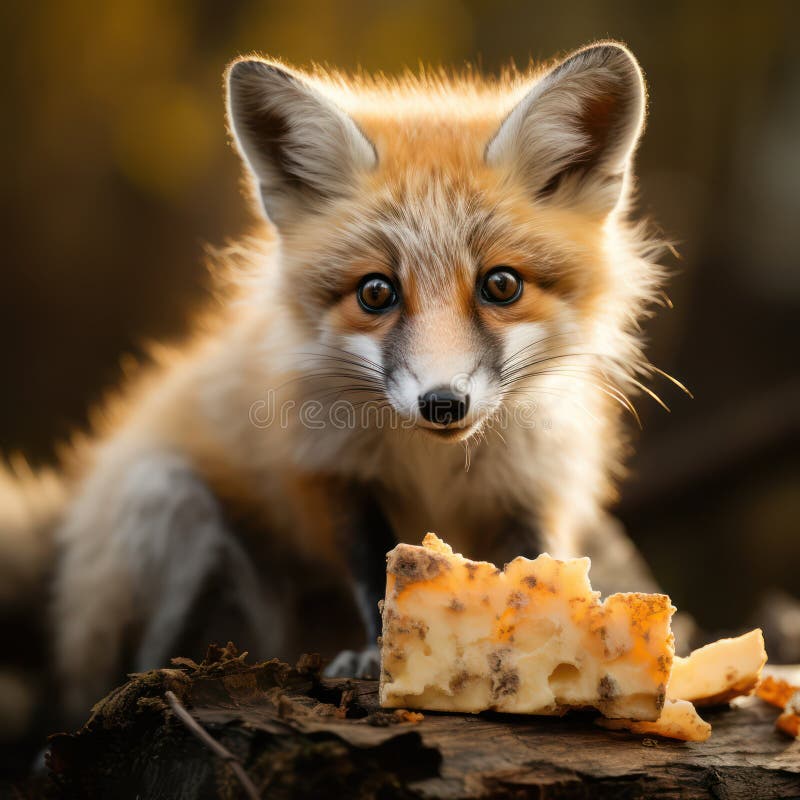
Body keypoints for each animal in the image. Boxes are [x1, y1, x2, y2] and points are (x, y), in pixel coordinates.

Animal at [0, 41, 671, 733]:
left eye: (501, 285)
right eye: (375, 292)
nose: (442, 403)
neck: (434, 465)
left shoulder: (535, 488)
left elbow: (534, 571)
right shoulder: (327, 475)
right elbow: (373, 577)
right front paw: (381, 656)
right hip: (171, 507)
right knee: (107, 679)